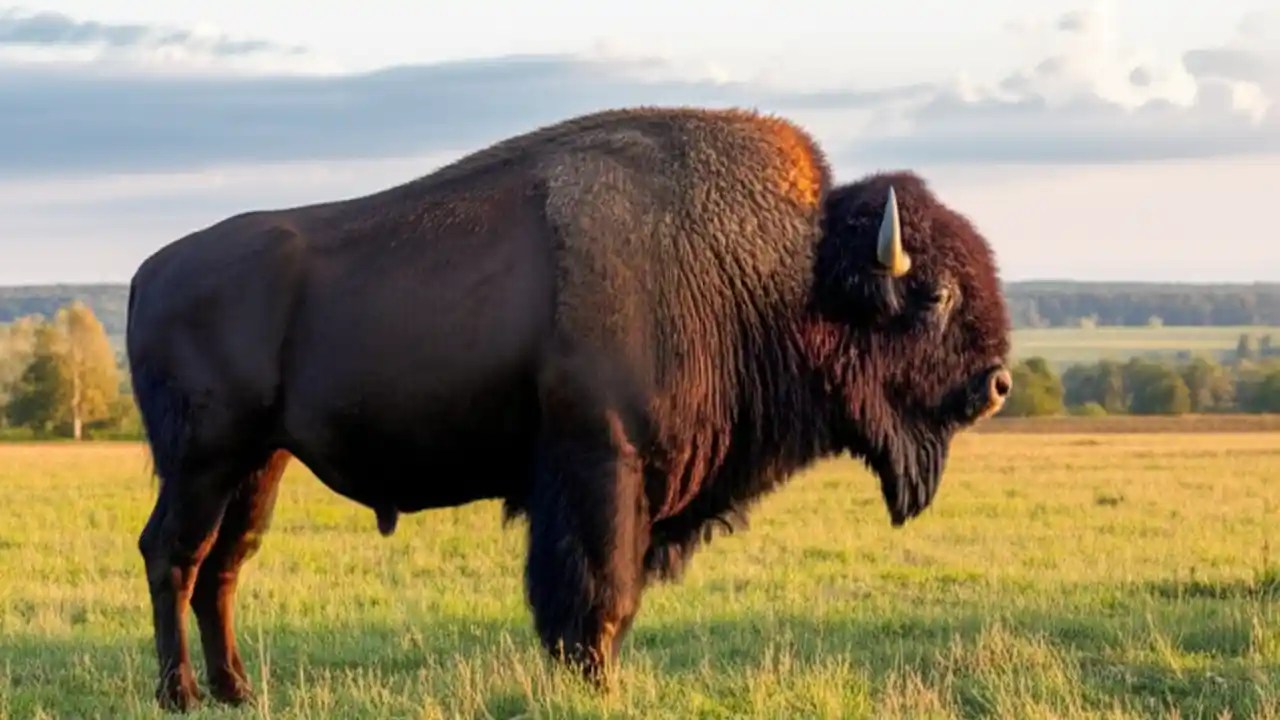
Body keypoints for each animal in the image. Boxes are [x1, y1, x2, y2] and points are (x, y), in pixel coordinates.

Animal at [126, 106, 1012, 710]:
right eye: (934, 294)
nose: (996, 386)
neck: (783, 273)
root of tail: (147, 273)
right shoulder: (601, 464)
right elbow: (599, 592)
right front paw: (596, 682)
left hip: (259, 465)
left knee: (224, 565)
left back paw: (237, 690)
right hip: (203, 460)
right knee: (173, 555)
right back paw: (181, 694)